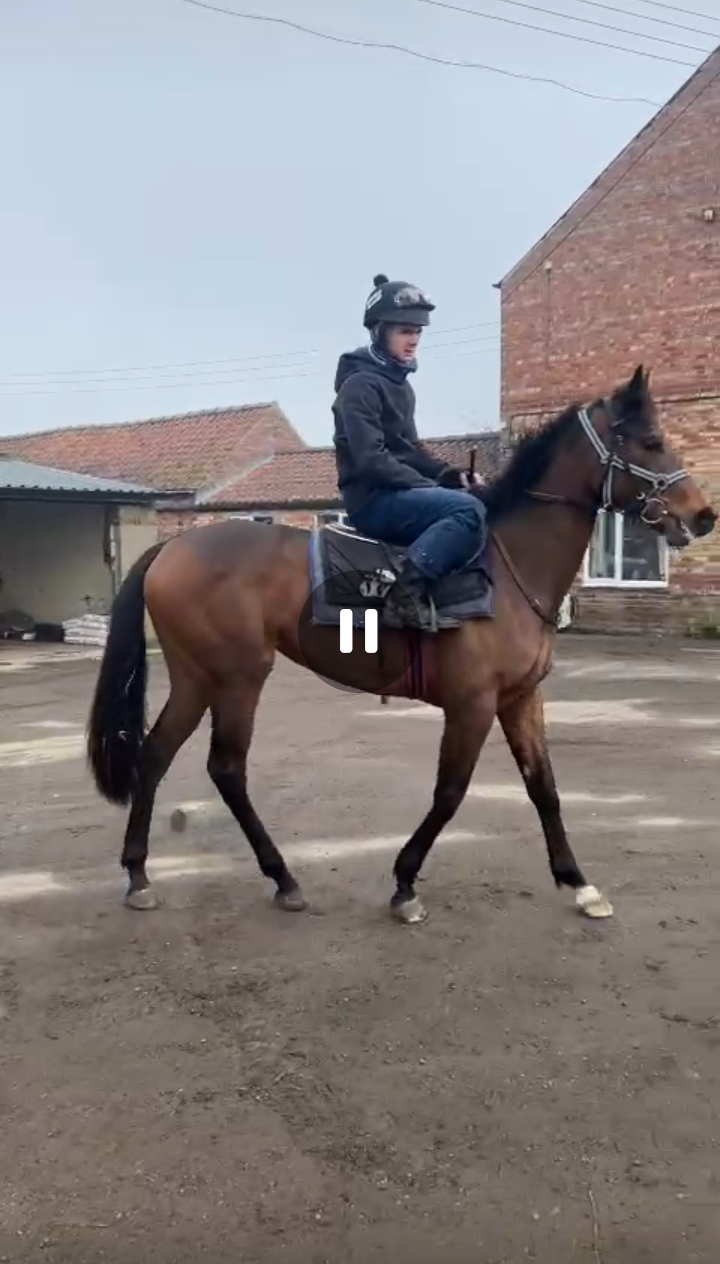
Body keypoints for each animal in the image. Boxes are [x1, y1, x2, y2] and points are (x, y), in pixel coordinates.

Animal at [87, 365, 716, 925]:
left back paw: (139, 874)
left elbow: (544, 787)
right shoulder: (471, 704)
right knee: (226, 768)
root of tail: (170, 549)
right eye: (652, 441)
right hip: (239, 677)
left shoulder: (520, 699)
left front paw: (579, 884)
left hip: (197, 679)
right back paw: (282, 877)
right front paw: (405, 883)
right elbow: (450, 793)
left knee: (156, 754)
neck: (507, 567)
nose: (703, 514)